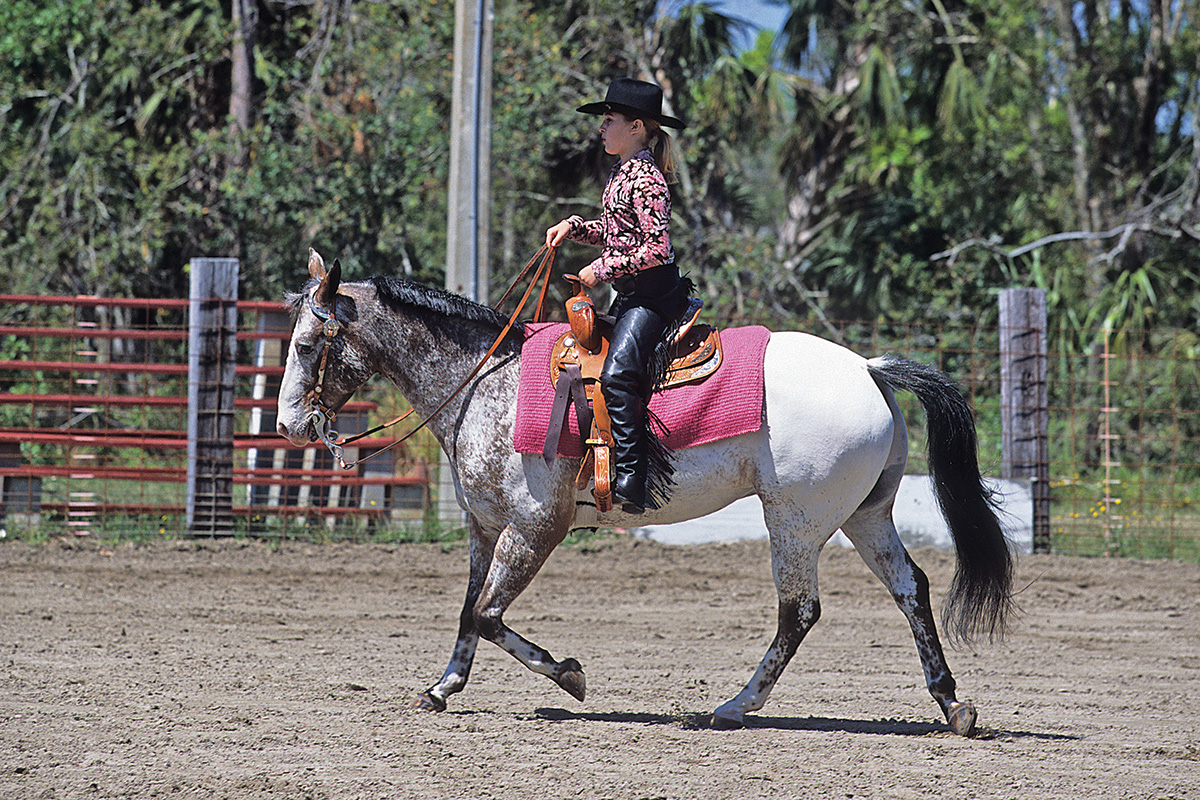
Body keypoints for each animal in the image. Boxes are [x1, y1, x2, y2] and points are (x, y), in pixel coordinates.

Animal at [276, 250, 1014, 736]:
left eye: (310, 343)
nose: (288, 424)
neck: (488, 382)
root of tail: (868, 368)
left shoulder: (536, 527)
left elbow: (488, 616)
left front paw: (568, 674)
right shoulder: (486, 528)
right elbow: (467, 612)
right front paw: (441, 687)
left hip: (796, 521)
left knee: (798, 612)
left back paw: (734, 707)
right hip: (864, 516)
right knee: (911, 589)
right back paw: (953, 705)